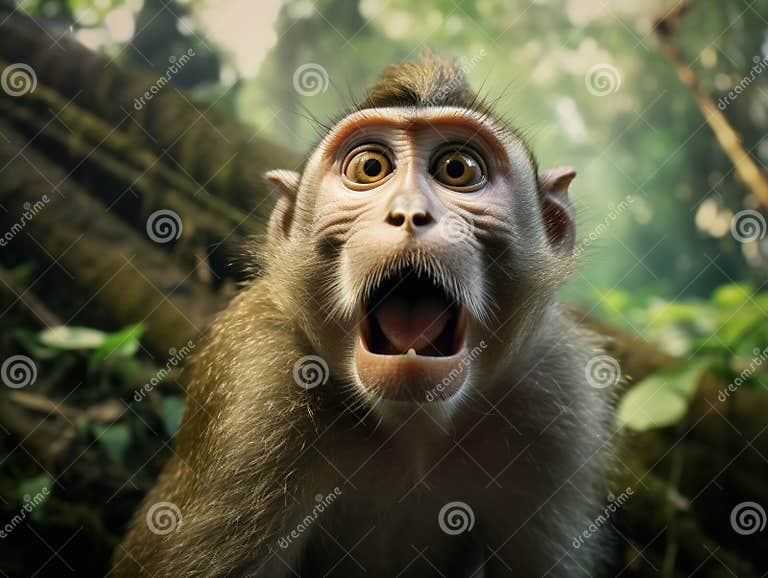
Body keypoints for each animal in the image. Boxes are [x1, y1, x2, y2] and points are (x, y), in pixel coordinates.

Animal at [112, 53, 614, 578]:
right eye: (371, 167)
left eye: (457, 169)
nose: (409, 214)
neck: (412, 428)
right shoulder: (256, 381)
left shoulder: (557, 396)